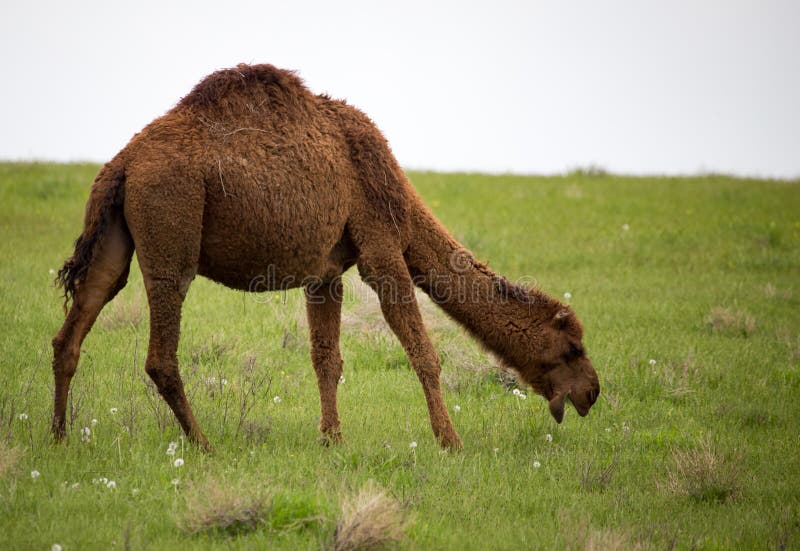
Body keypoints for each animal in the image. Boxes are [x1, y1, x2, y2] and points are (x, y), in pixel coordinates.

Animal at [52, 63, 599, 450]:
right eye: (572, 348)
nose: (592, 393)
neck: (395, 188)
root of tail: (123, 164)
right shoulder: (382, 246)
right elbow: (424, 353)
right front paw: (451, 441)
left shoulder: (326, 274)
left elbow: (326, 359)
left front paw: (332, 439)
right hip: (171, 225)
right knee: (161, 352)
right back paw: (204, 445)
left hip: (114, 236)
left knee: (73, 328)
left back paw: (58, 437)